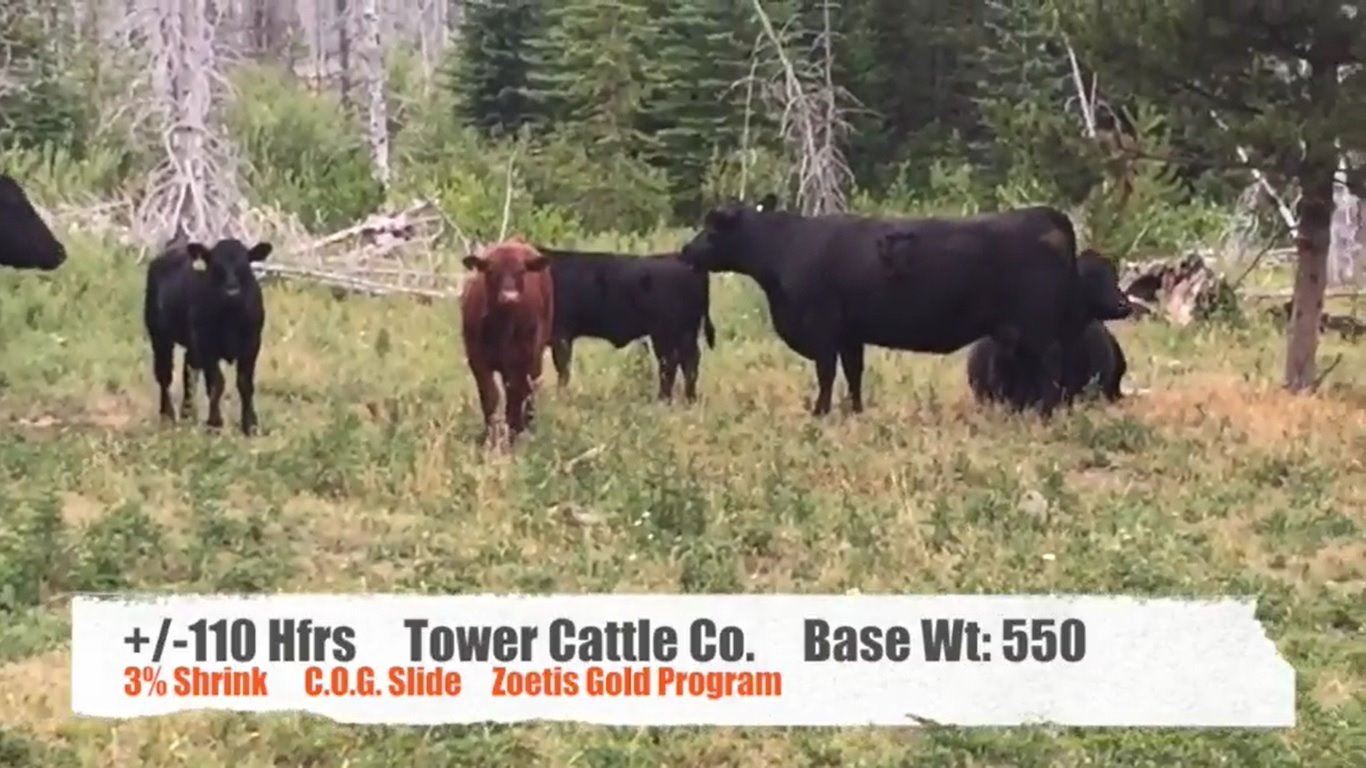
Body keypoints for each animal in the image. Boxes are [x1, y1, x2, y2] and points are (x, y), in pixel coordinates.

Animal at [144, 237, 272, 435]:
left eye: (245, 265)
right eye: (215, 266)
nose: (232, 292)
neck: (231, 316)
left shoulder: (252, 345)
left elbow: (245, 383)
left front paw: (250, 424)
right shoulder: (206, 346)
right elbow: (216, 383)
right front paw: (215, 423)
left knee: (189, 371)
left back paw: (188, 413)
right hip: (160, 336)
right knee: (164, 375)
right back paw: (168, 415)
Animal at [461, 239, 554, 444]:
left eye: (521, 271)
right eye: (491, 270)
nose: (509, 297)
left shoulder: (521, 360)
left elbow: (516, 396)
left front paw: (514, 433)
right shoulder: (477, 360)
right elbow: (489, 395)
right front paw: (490, 435)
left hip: (536, 355)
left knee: (530, 387)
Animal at [538, 248, 715, 402]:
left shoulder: (561, 336)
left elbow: (562, 370)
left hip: (668, 333)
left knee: (672, 364)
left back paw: (664, 400)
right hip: (684, 334)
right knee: (686, 363)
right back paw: (688, 399)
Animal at [678, 202, 1085, 415]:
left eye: (712, 231)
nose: (685, 250)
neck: (787, 247)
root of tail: (1043, 214)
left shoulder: (823, 328)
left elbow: (827, 373)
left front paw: (820, 411)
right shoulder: (850, 334)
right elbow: (854, 372)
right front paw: (855, 409)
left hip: (1036, 326)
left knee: (1050, 364)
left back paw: (1046, 410)